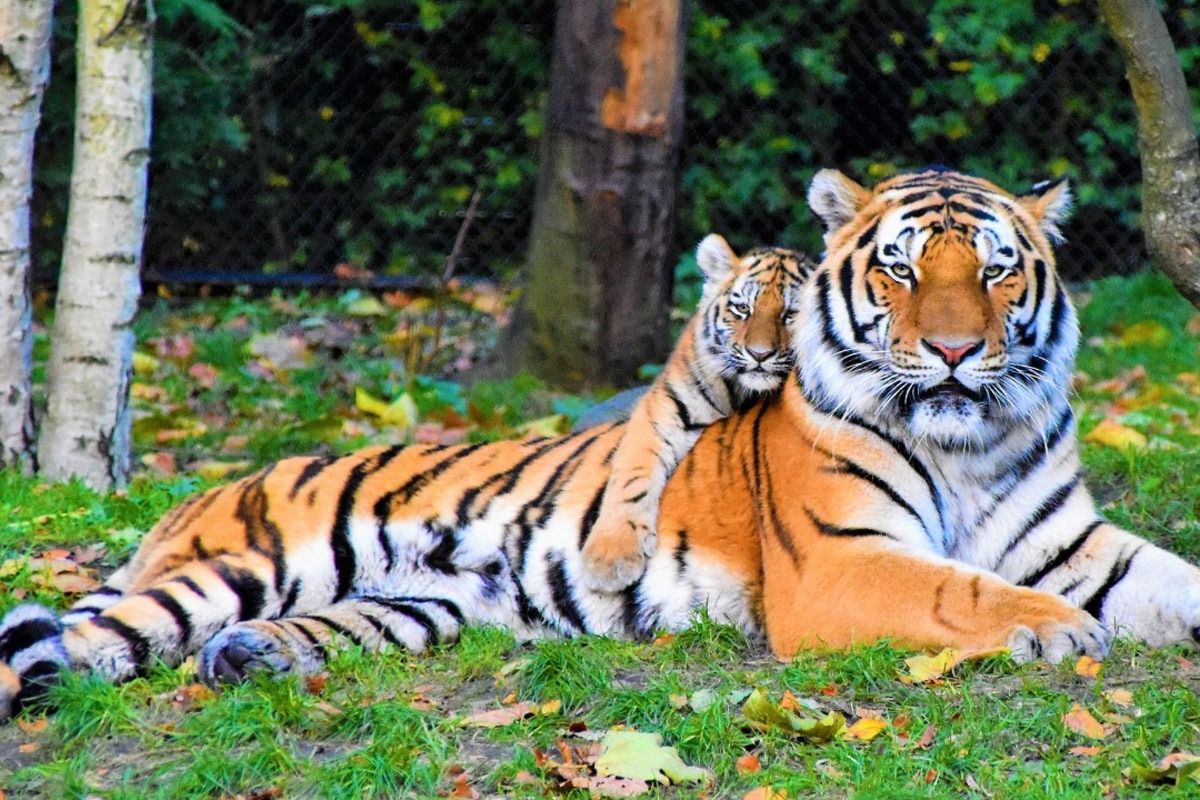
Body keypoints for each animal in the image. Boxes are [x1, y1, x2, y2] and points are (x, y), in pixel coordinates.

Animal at [579, 234, 813, 591]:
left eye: (791, 314)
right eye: (742, 309)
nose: (759, 354)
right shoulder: (664, 409)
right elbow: (632, 475)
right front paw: (610, 558)